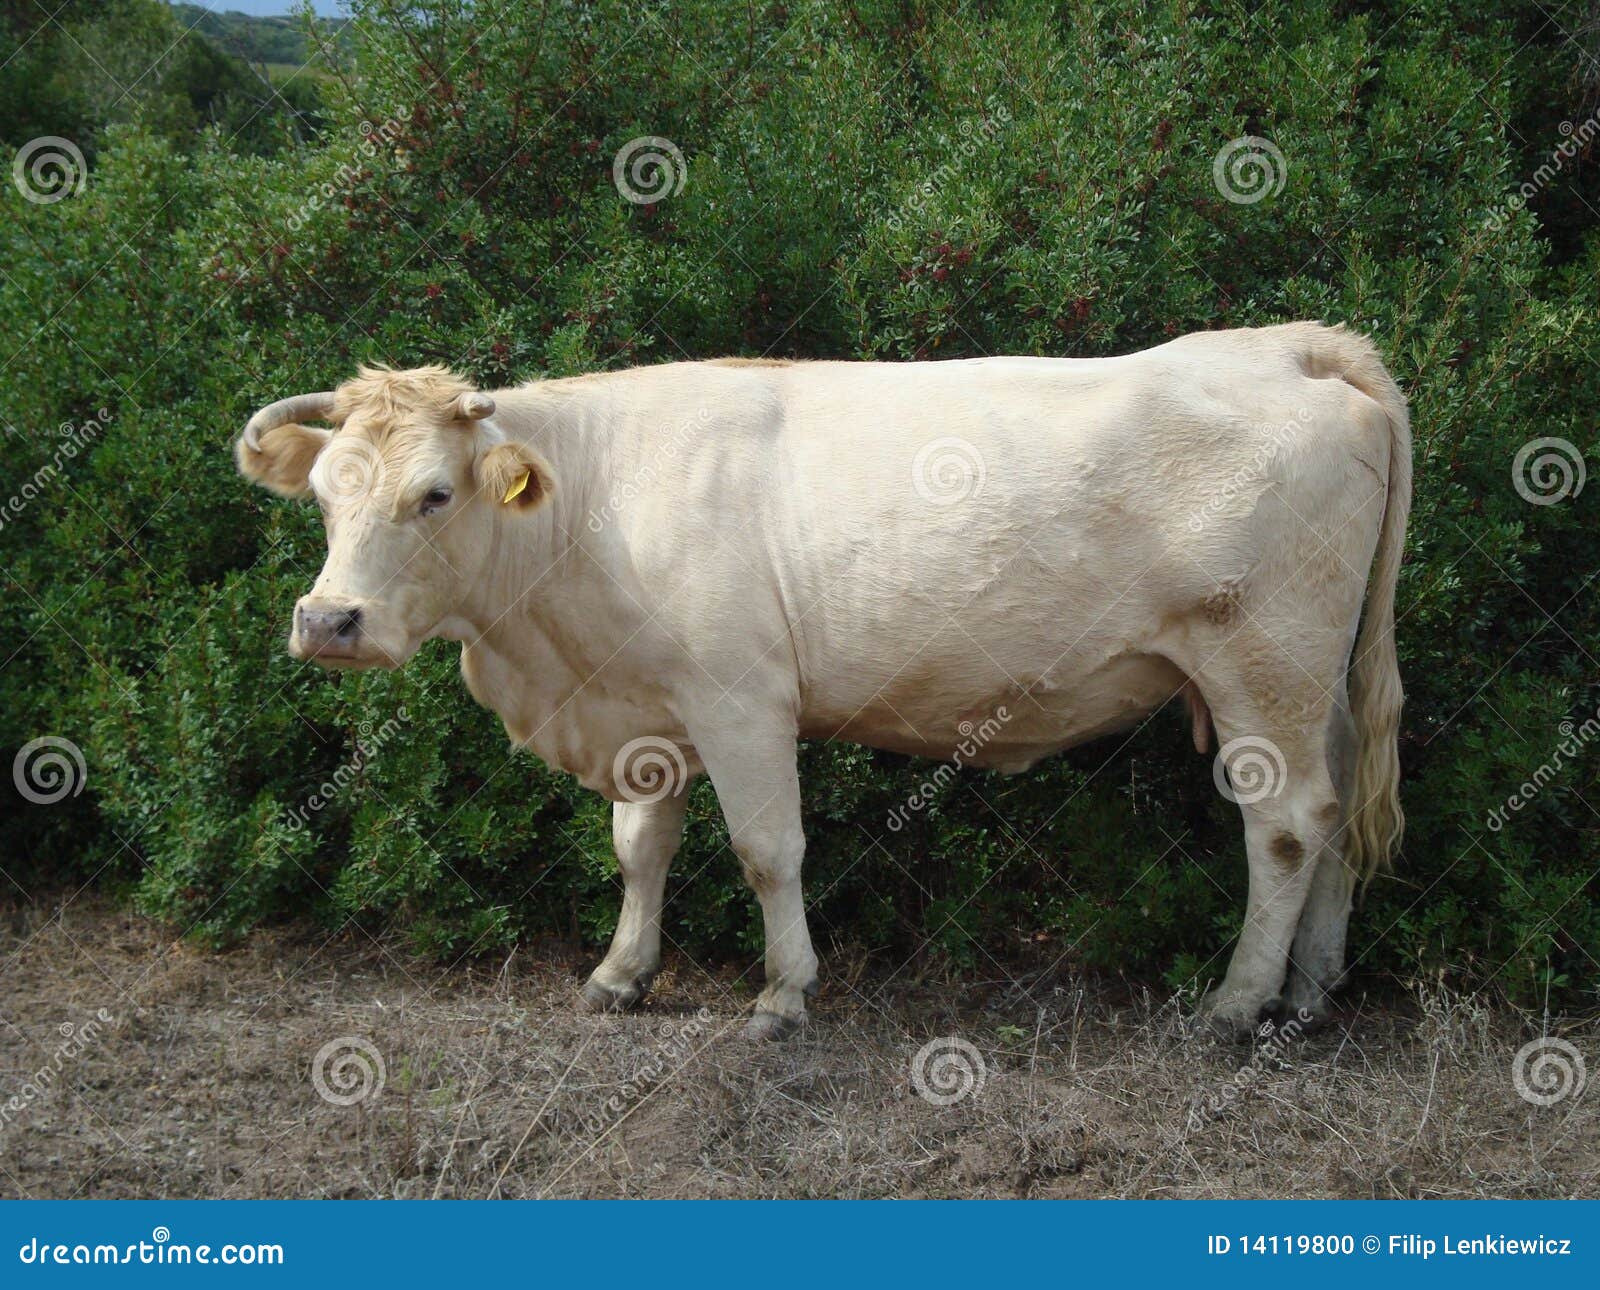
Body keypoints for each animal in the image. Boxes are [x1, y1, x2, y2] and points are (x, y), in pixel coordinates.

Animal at [236, 321, 1408, 1042]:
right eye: (325, 494)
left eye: (435, 495)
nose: (329, 621)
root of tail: (1288, 346)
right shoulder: (644, 714)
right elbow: (639, 848)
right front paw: (622, 973)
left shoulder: (740, 698)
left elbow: (767, 850)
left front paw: (783, 993)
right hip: (1316, 681)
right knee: (1336, 812)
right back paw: (1309, 993)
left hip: (1263, 660)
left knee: (1285, 825)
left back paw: (1237, 1003)